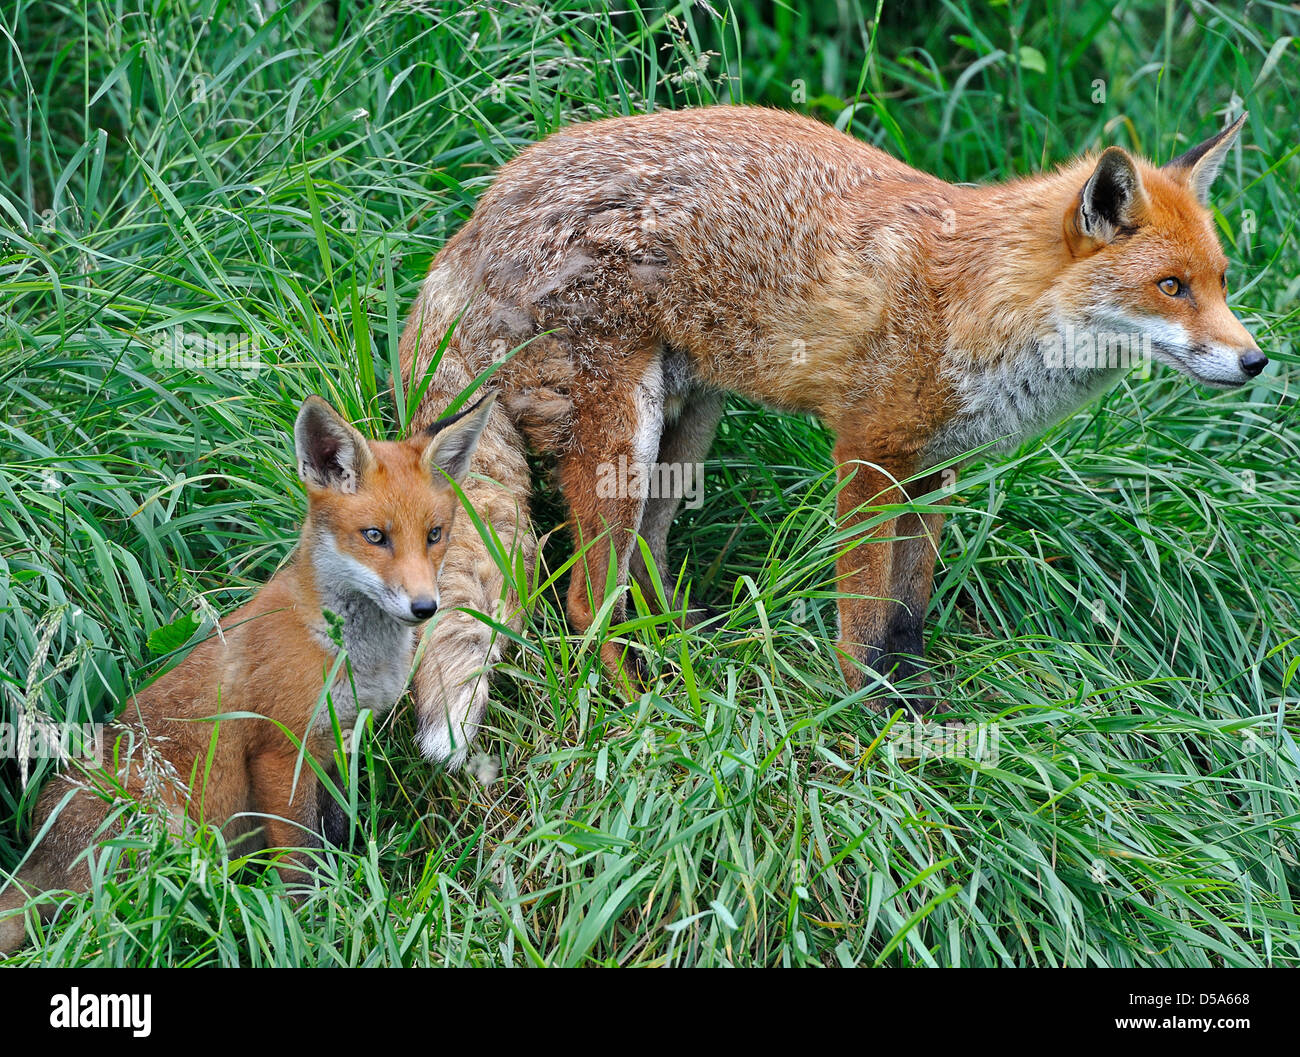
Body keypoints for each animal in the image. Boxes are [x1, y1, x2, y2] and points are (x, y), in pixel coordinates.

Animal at [0, 394, 492, 954]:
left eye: (434, 535)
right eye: (375, 537)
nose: (425, 608)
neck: (343, 650)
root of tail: (35, 855)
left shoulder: (341, 739)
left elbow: (334, 829)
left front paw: (345, 887)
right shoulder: (280, 751)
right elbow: (297, 855)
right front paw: (309, 926)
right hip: (164, 830)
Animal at [396, 104, 1266, 768]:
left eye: (1222, 283)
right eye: (1171, 287)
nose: (1256, 361)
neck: (974, 305)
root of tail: (469, 228)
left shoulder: (934, 470)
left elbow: (908, 613)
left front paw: (915, 711)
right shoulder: (866, 457)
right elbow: (863, 619)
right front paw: (863, 720)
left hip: (687, 435)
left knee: (645, 562)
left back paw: (689, 654)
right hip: (622, 440)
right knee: (587, 599)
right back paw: (648, 710)